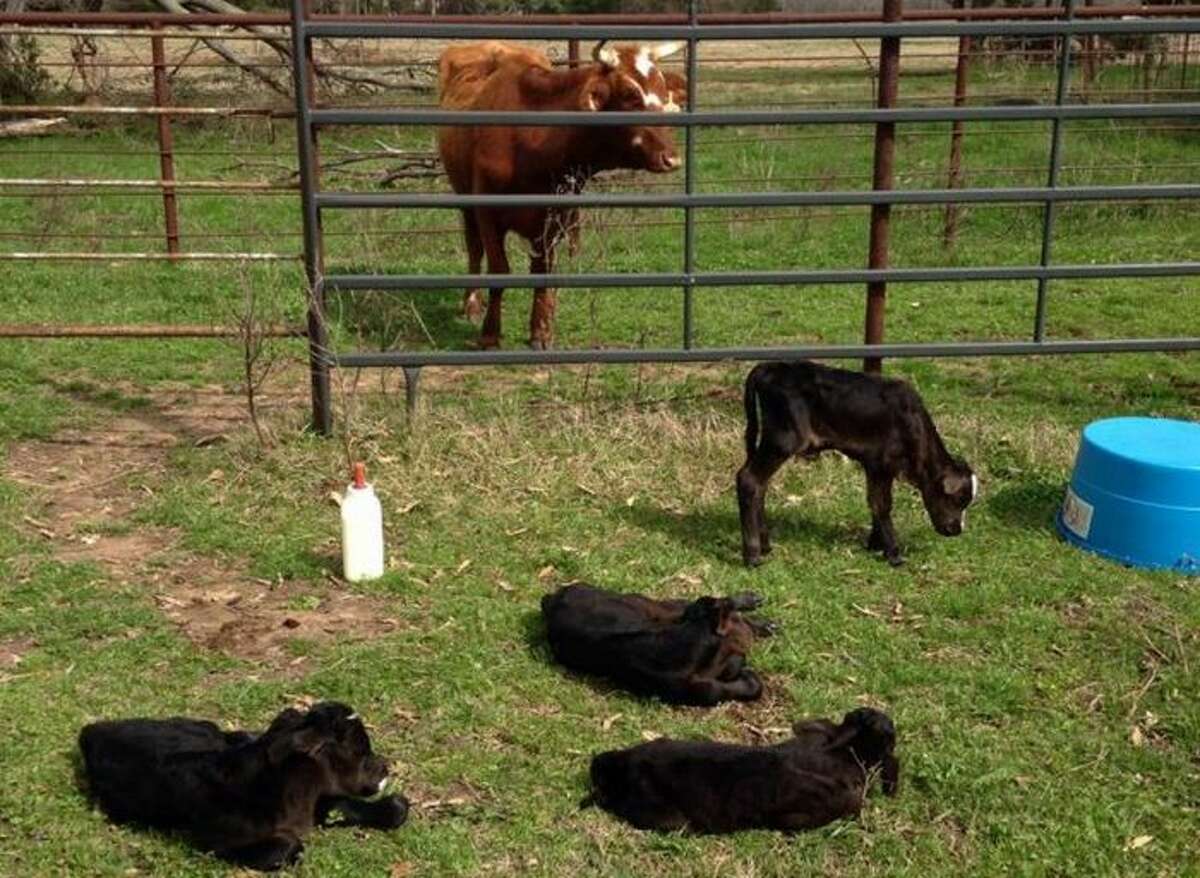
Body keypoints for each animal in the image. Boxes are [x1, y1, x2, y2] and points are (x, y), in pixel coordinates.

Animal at [78, 702, 408, 871]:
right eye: (358, 749)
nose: (386, 767)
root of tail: (93, 729)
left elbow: (393, 807)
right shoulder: (215, 845)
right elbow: (291, 846)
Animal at [437, 40, 686, 350]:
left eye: (664, 93)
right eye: (630, 94)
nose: (671, 159)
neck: (531, 143)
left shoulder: (555, 218)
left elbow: (543, 272)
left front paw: (541, 332)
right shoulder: (487, 213)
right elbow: (498, 269)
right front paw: (490, 334)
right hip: (466, 203)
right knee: (474, 249)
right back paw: (471, 302)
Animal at [736, 361, 977, 568]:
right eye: (959, 499)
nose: (957, 530)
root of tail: (771, 367)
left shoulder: (873, 465)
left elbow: (873, 503)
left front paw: (875, 544)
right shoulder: (883, 464)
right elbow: (882, 504)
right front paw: (893, 553)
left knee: (761, 485)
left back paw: (766, 544)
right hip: (783, 440)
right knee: (749, 479)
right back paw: (753, 555)